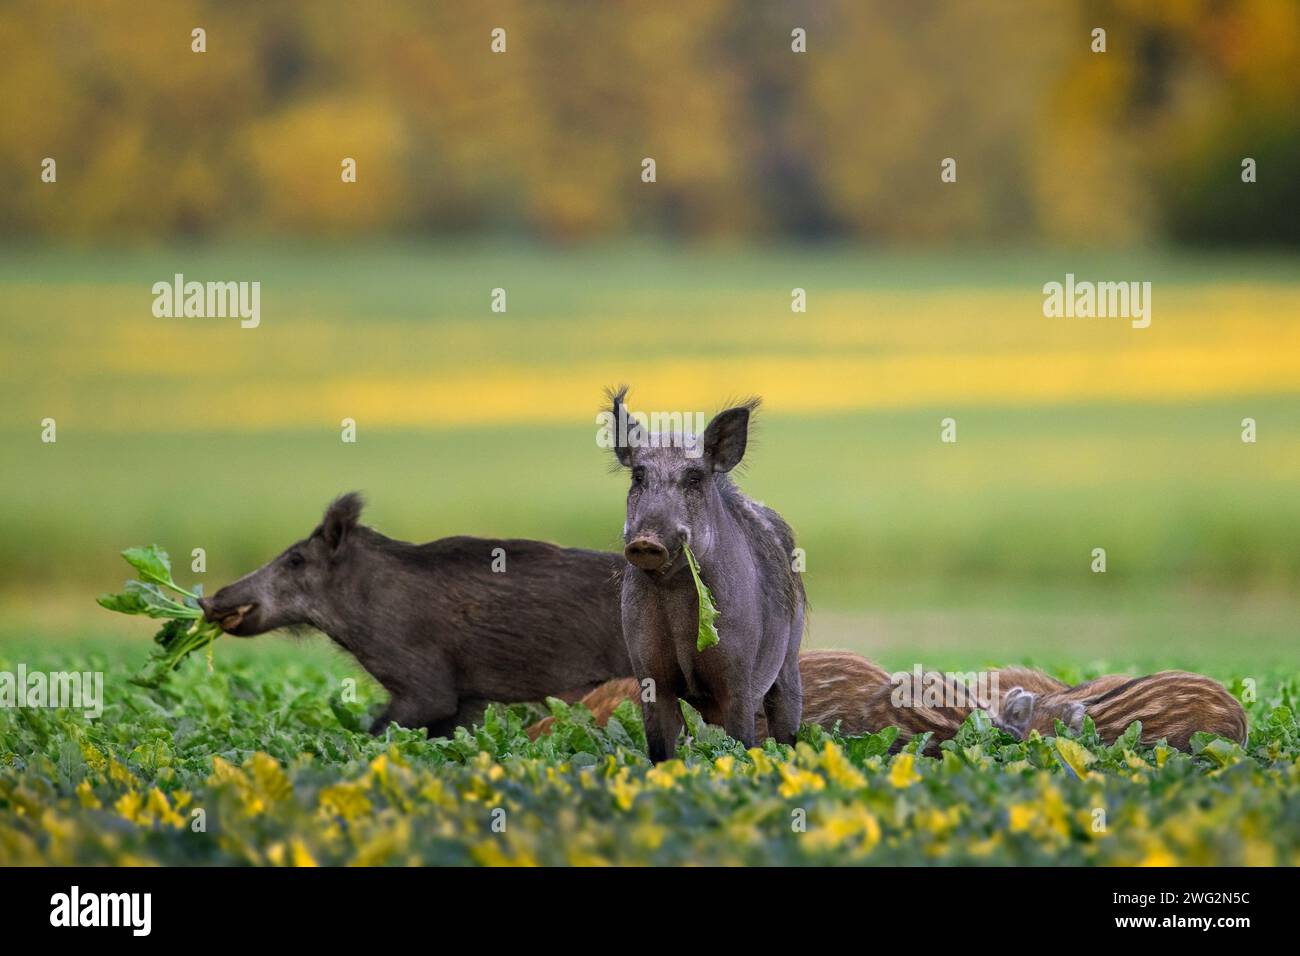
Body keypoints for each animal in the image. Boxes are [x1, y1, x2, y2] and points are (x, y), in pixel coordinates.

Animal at [610, 387, 806, 761]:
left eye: (694, 478)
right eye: (638, 476)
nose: (646, 541)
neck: (673, 593)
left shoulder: (738, 682)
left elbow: (742, 745)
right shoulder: (651, 679)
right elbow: (660, 751)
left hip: (789, 664)